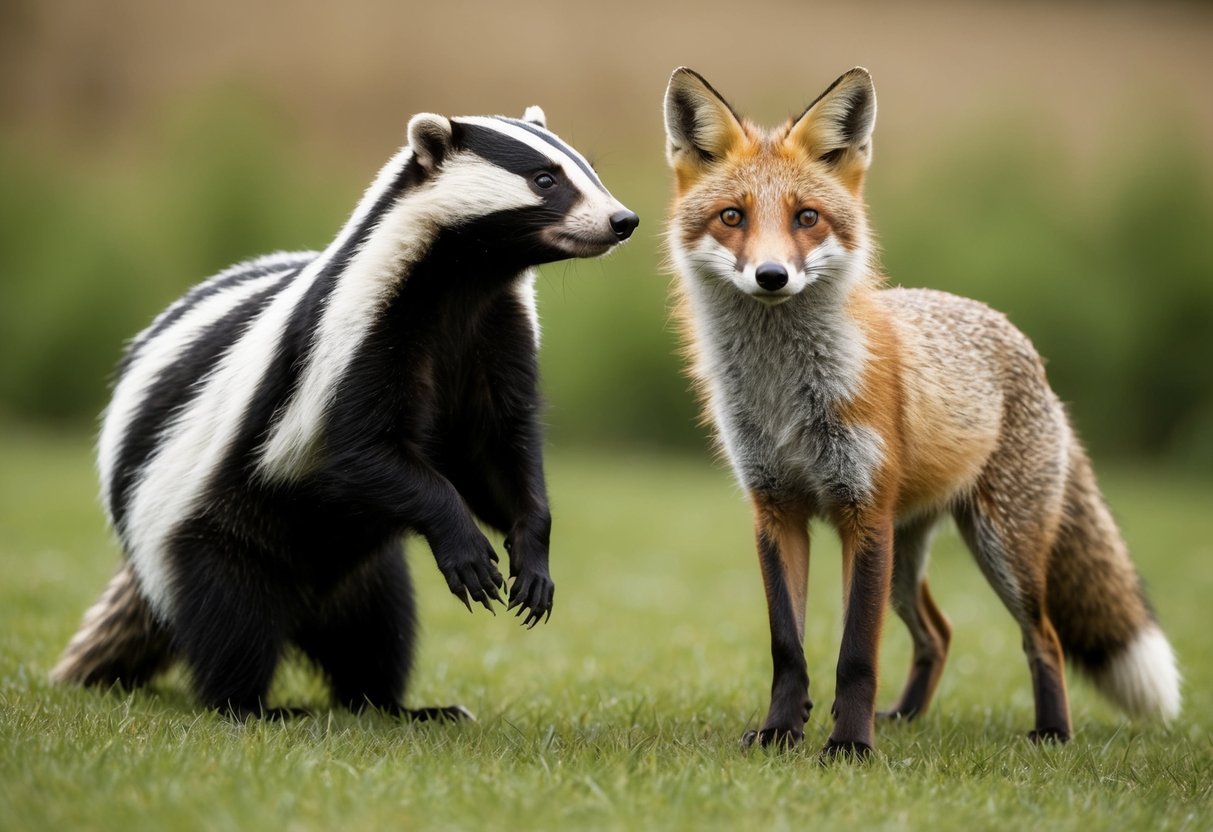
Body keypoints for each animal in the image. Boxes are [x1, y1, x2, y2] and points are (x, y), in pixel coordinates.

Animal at [662, 66, 1181, 759]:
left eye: (806, 217)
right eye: (731, 217)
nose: (771, 276)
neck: (784, 396)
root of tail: (1022, 343)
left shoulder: (863, 513)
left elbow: (856, 654)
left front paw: (849, 747)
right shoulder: (776, 511)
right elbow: (788, 648)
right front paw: (782, 732)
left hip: (998, 547)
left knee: (1042, 636)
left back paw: (1051, 732)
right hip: (906, 557)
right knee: (940, 631)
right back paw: (906, 717)